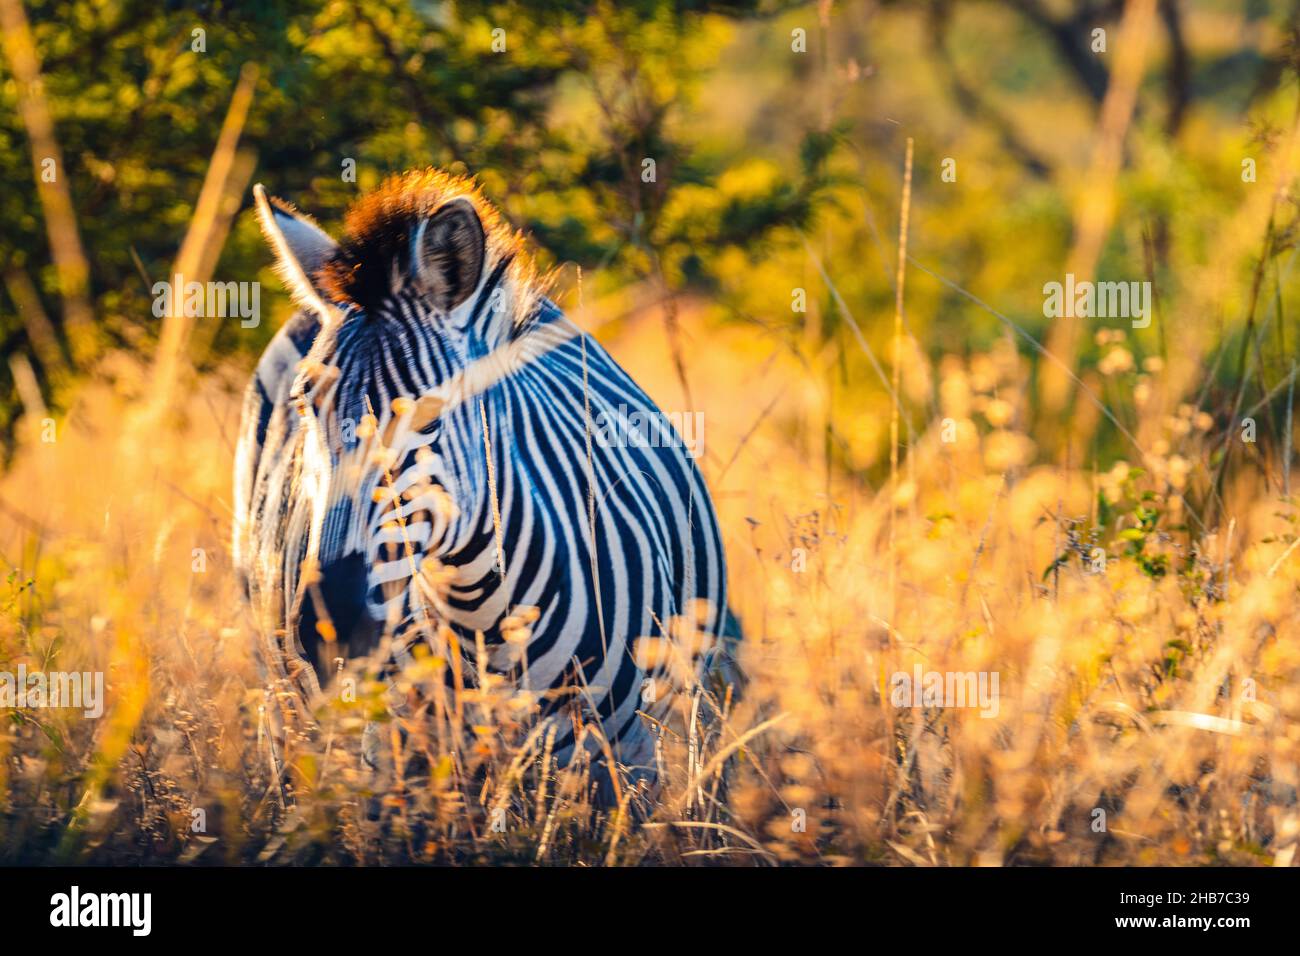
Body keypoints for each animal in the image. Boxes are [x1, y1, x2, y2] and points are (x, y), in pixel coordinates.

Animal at [233, 169, 734, 799]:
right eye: (306, 405)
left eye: (429, 415)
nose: (332, 626)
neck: (479, 609)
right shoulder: (396, 763)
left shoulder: (627, 758)